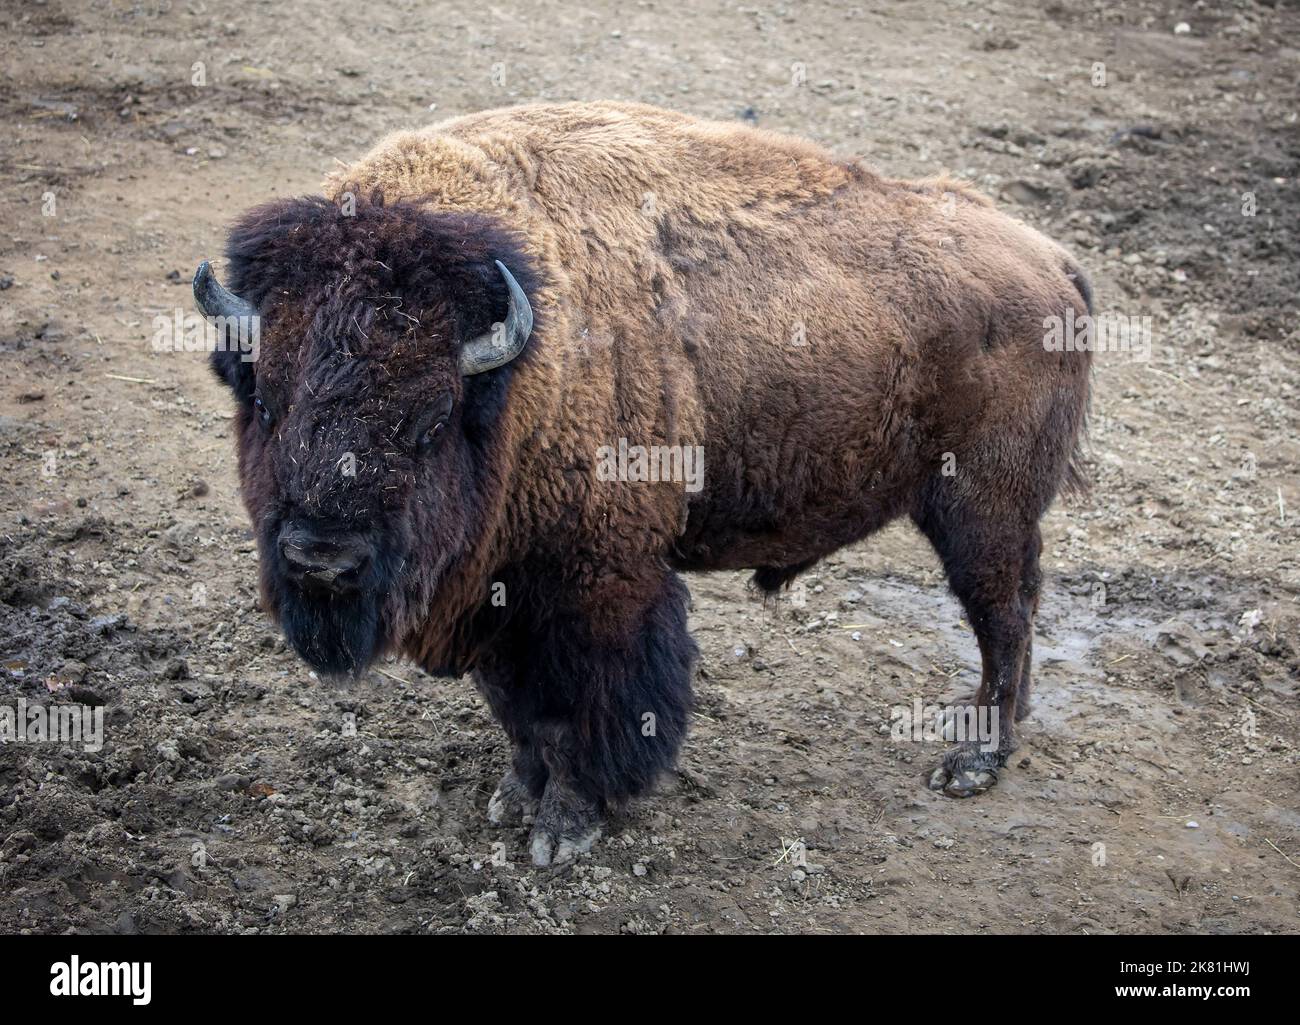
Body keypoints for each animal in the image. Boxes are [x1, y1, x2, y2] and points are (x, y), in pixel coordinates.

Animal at [195, 101, 1092, 866]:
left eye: (428, 420)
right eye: (265, 400)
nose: (321, 559)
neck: (521, 368)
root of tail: (1053, 260)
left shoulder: (601, 583)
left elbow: (588, 707)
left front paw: (566, 825)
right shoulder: (502, 588)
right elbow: (518, 711)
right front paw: (512, 796)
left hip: (980, 509)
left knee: (1004, 616)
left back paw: (973, 759)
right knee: (1014, 612)